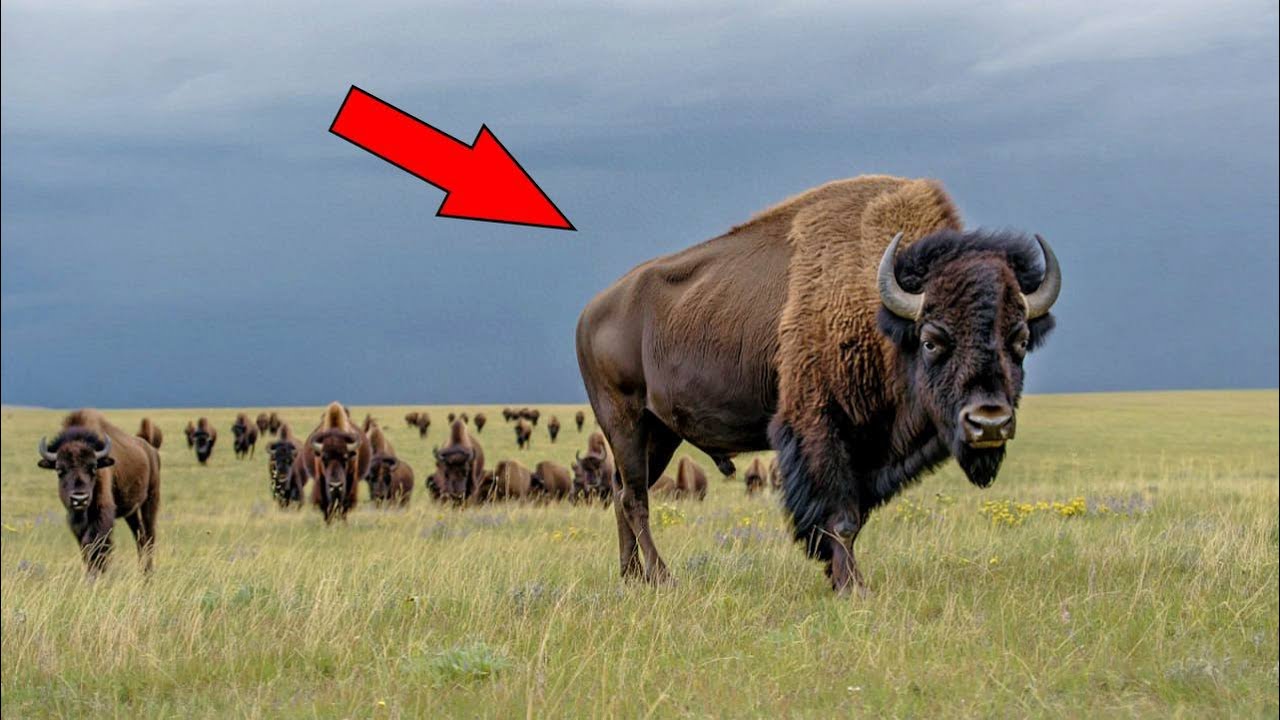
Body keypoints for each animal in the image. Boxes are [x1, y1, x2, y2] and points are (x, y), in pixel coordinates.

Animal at [37, 410, 161, 577]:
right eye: (59, 469)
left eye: (94, 467)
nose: (80, 499)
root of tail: (150, 448)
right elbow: (85, 546)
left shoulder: (102, 512)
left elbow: (96, 543)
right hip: (131, 512)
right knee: (140, 536)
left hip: (151, 499)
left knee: (149, 535)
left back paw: (148, 573)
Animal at [576, 175, 1060, 592]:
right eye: (931, 340)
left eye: (1020, 339)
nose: (989, 422)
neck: (879, 309)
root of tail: (590, 313)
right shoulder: (821, 429)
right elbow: (839, 516)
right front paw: (853, 587)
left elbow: (853, 518)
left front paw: (840, 578)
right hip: (626, 422)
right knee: (635, 497)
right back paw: (662, 577)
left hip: (661, 432)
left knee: (622, 491)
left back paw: (632, 577)